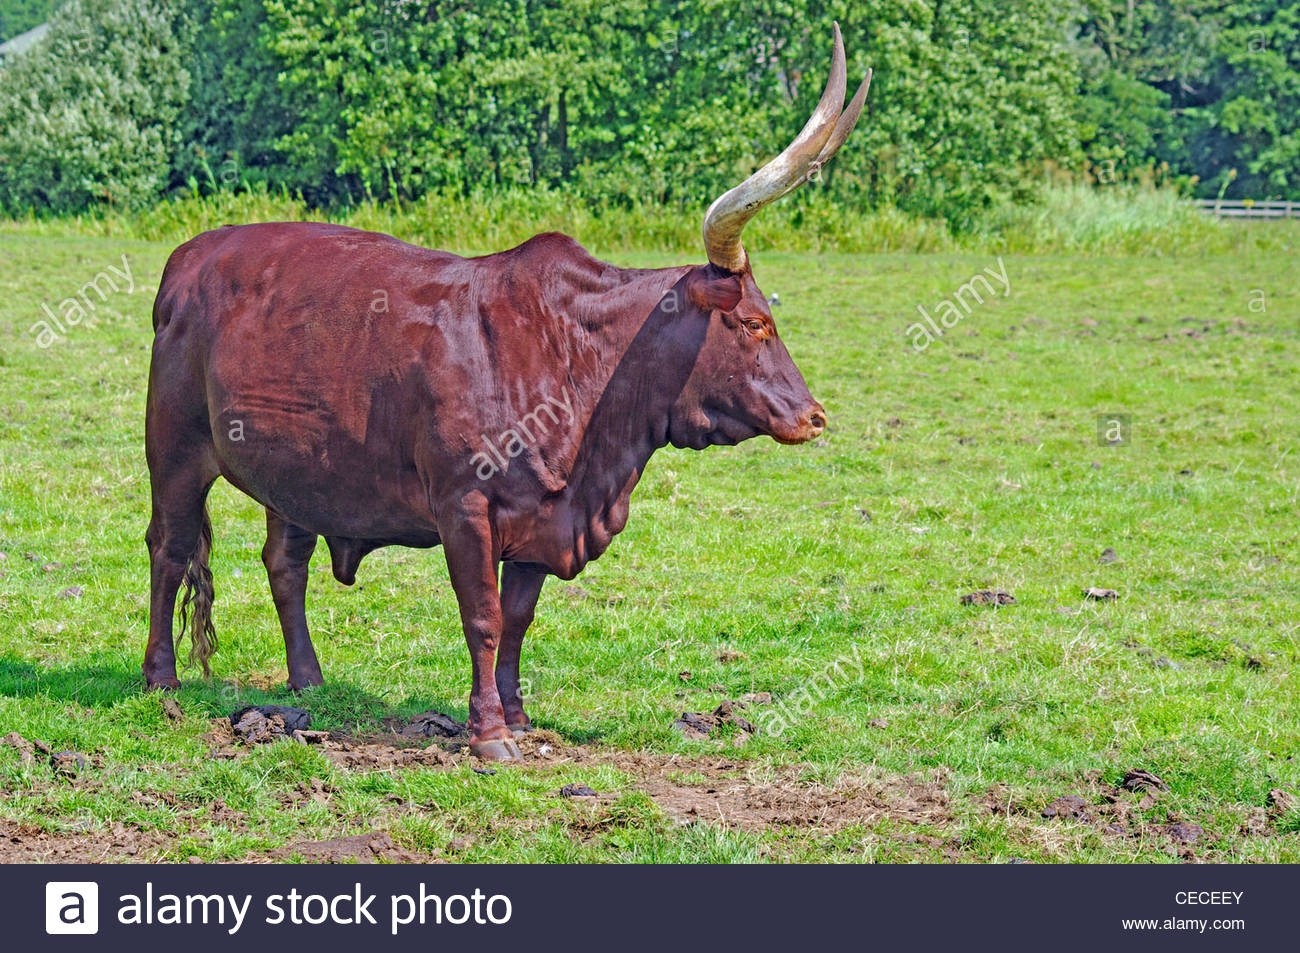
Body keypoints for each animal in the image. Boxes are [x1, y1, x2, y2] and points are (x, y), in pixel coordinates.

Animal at [143, 26, 871, 759]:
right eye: (754, 323)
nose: (814, 416)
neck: (573, 361)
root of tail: (190, 258)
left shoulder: (542, 516)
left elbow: (519, 618)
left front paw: (518, 715)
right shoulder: (465, 506)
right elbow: (484, 617)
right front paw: (489, 734)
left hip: (293, 472)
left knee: (284, 563)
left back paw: (308, 681)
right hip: (175, 454)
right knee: (169, 549)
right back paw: (160, 680)